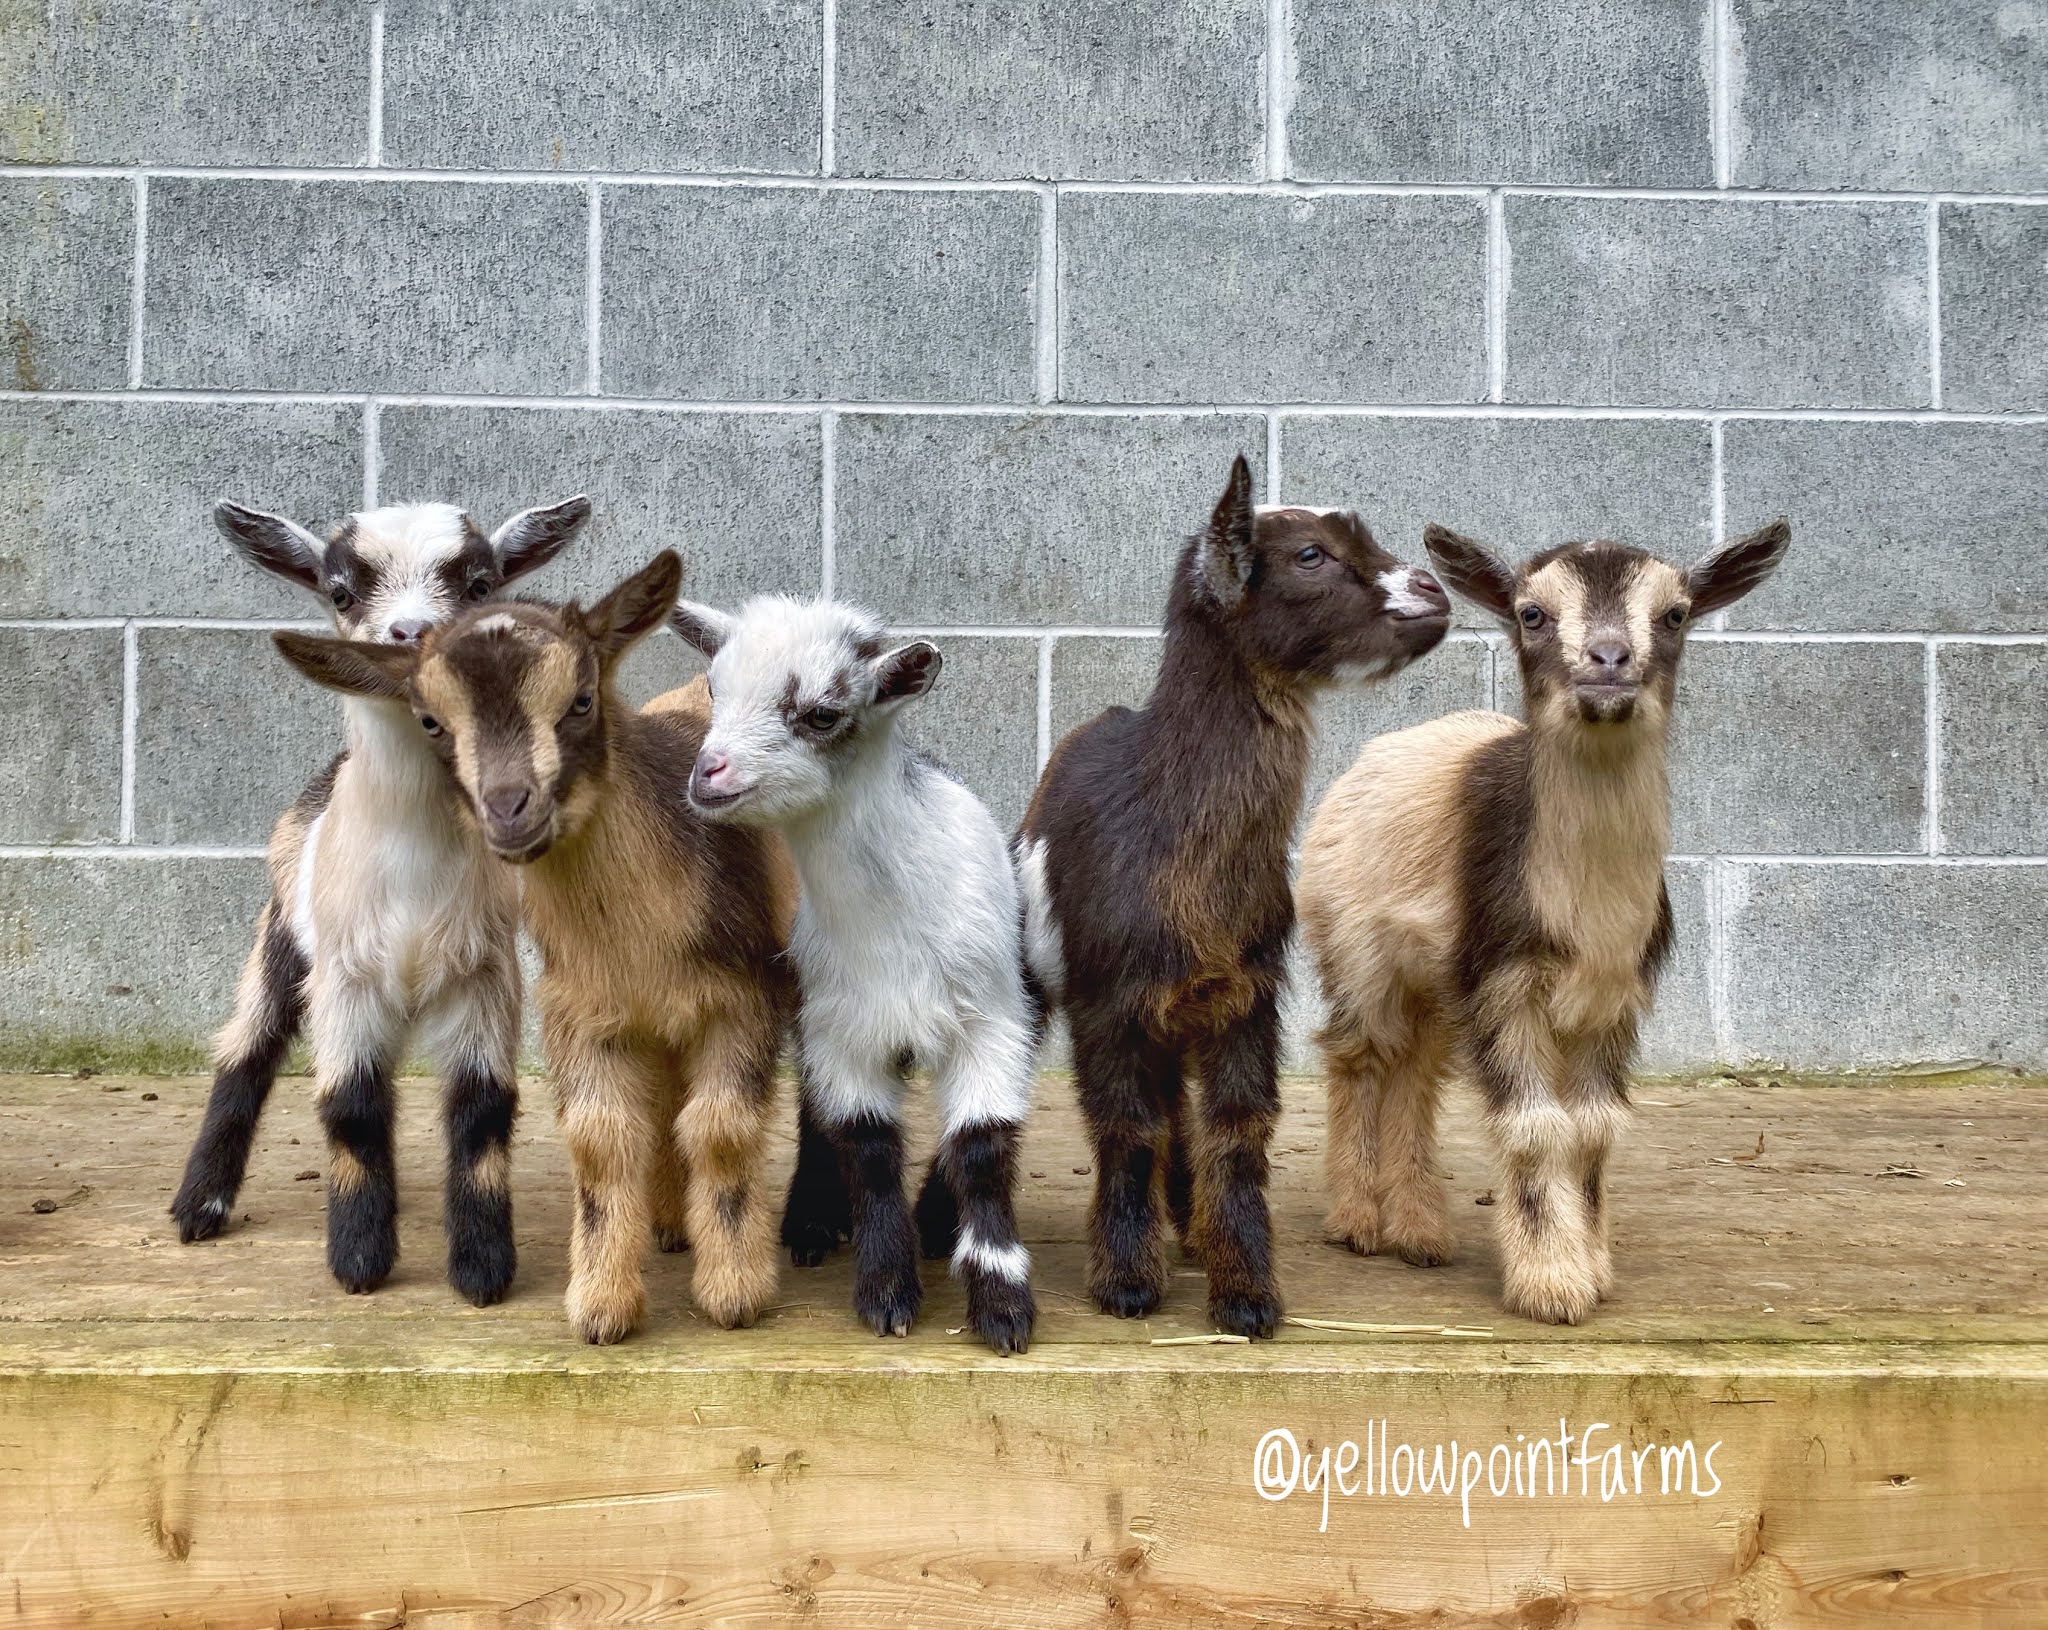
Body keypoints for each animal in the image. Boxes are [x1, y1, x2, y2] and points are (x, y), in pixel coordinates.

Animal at [169, 495, 591, 1306]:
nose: (411, 633)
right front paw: (360, 1261)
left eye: (482, 584)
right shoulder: (347, 976)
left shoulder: (486, 974)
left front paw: (482, 1269)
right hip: (282, 937)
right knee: (247, 1049)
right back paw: (200, 1206)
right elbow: (352, 1106)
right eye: (340, 592)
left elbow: (482, 1109)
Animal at [272, 552, 798, 1342]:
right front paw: (601, 1306)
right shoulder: (582, 1012)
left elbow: (720, 1129)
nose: (509, 810)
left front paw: (735, 1293)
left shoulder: (742, 998)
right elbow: (602, 1139)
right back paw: (670, 1224)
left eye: (582, 700)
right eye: (431, 721)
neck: (641, 938)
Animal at [670, 595, 1038, 1354]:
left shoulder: (992, 1022)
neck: (895, 921)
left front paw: (1003, 1305)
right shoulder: (843, 1030)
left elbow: (983, 1148)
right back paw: (812, 1220)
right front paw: (888, 1291)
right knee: (816, 1110)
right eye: (715, 688)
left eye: (822, 713)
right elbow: (867, 1148)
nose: (708, 773)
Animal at [1010, 454, 1452, 1337]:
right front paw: (1126, 1283)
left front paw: (1245, 1290)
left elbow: (1239, 1128)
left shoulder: (1248, 991)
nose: (1433, 591)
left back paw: (1187, 1225)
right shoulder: (1109, 997)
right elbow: (1125, 1125)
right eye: (1310, 555)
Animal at [1296, 520, 1791, 1326]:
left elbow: (1592, 1128)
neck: (1587, 905)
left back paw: (1419, 1231)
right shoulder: (1505, 979)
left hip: (1436, 978)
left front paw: (1592, 1267)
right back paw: (1358, 1222)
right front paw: (1550, 1283)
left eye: (1676, 613)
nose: (1608, 661)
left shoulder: (1612, 996)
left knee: (1416, 1069)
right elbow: (1535, 1126)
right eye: (1531, 613)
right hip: (1353, 945)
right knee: (1359, 1055)